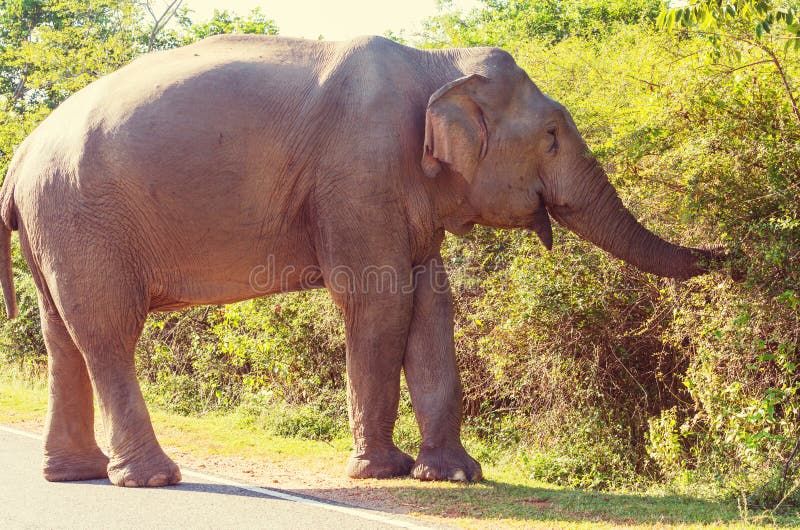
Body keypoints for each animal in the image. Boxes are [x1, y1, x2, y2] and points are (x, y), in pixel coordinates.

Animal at [0, 34, 728, 487]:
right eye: (551, 136)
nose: (732, 254)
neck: (436, 64)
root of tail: (21, 155)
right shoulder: (361, 168)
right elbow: (380, 299)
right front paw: (383, 470)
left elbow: (432, 305)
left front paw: (456, 474)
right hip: (83, 217)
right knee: (107, 333)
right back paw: (154, 478)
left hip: (55, 225)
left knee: (62, 337)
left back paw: (76, 475)